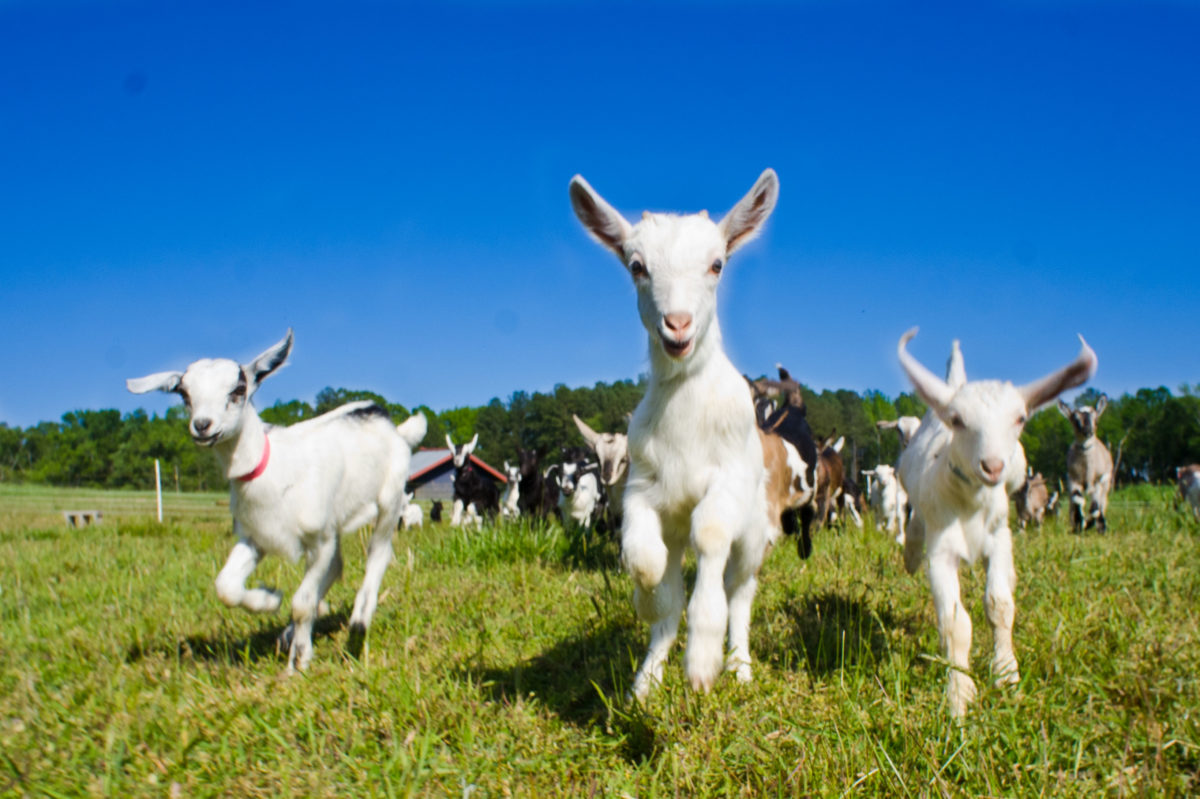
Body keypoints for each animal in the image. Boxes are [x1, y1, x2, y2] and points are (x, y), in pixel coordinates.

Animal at [127, 330, 427, 673]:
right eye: (184, 394)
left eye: (238, 389)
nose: (202, 426)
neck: (272, 467)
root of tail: (392, 424)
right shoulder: (255, 536)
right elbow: (226, 587)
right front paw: (269, 599)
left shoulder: (319, 541)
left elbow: (301, 602)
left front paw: (300, 660)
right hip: (335, 518)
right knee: (337, 567)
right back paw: (291, 632)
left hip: (390, 499)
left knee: (378, 555)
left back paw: (355, 630)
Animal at [570, 168, 779, 698]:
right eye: (636, 265)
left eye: (717, 264)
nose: (678, 325)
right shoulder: (643, 488)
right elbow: (646, 562)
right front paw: (650, 604)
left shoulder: (725, 483)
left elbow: (712, 538)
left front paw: (702, 659)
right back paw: (645, 682)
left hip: (754, 528)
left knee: (740, 590)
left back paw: (739, 664)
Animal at [896, 328, 1096, 717]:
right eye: (958, 419)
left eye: (1020, 419)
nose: (992, 466)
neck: (971, 502)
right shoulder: (941, 551)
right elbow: (955, 623)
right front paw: (959, 695)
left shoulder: (999, 539)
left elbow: (1000, 604)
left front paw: (1006, 675)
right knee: (915, 523)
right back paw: (910, 554)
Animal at [1058, 397, 1114, 533]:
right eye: (1075, 421)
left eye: (1096, 420)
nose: (1088, 432)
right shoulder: (1073, 479)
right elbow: (1077, 499)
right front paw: (1079, 524)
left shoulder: (1099, 480)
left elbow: (1095, 508)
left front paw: (1090, 523)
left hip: (1106, 484)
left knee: (1101, 504)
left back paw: (1100, 526)